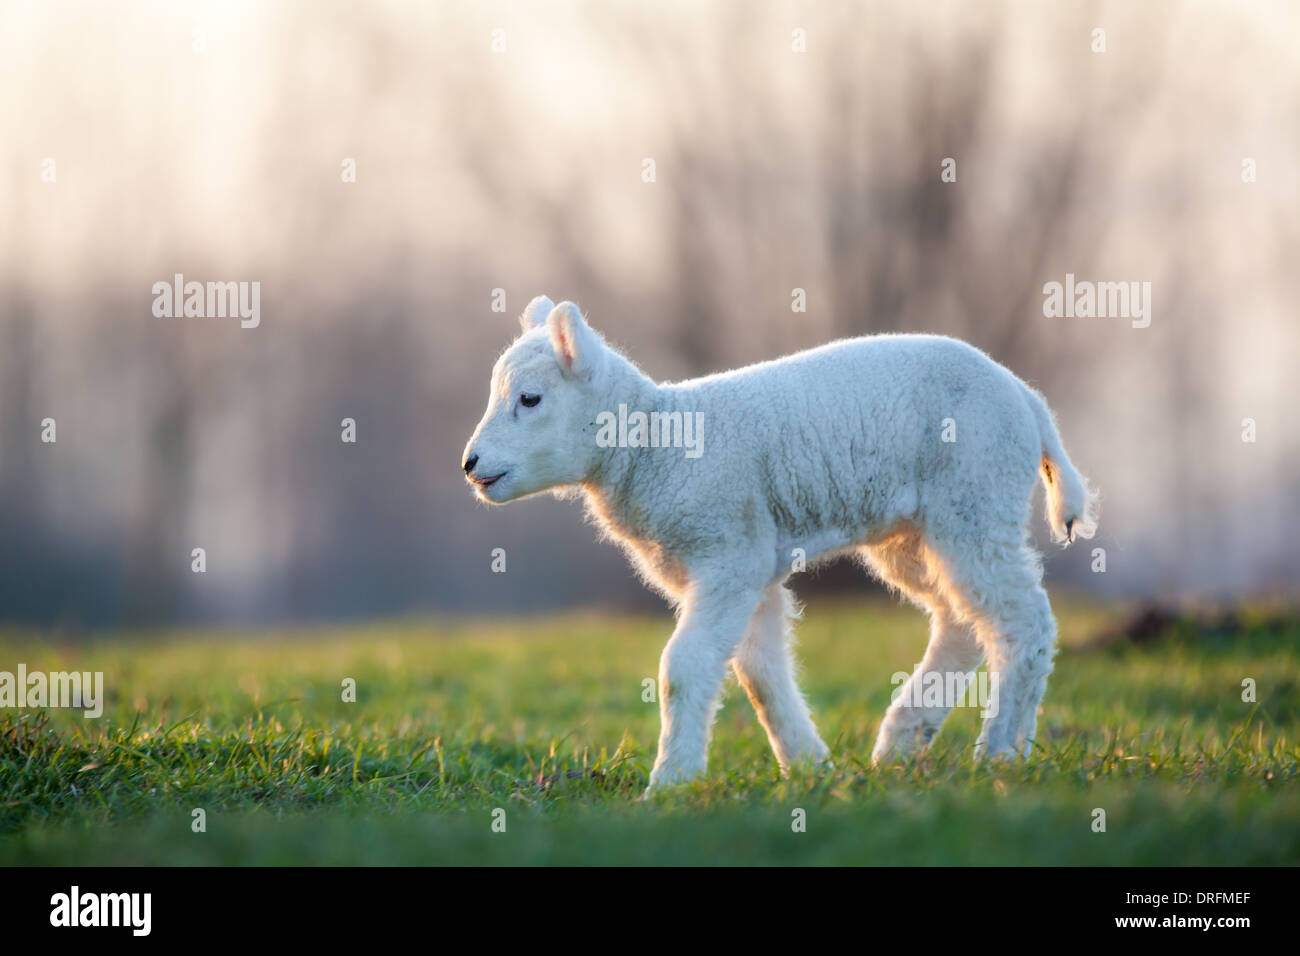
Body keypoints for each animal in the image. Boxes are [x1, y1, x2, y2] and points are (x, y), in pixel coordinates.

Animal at [462, 295, 1099, 792]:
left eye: (530, 399)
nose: (470, 465)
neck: (654, 445)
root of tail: (1025, 395)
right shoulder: (749, 564)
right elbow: (761, 675)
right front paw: (810, 766)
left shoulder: (727, 555)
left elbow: (683, 668)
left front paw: (670, 782)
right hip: (917, 531)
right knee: (962, 619)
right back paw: (901, 741)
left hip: (975, 498)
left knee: (1022, 622)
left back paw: (1000, 753)